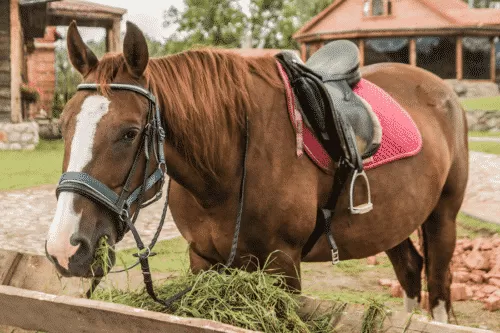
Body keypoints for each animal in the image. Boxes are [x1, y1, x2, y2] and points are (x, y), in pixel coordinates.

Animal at [46, 21, 468, 322]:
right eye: (63, 125)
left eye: (130, 133)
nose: (65, 247)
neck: (225, 173)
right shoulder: (203, 259)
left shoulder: (283, 264)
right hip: (393, 221)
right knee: (411, 272)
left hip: (442, 219)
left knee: (438, 289)